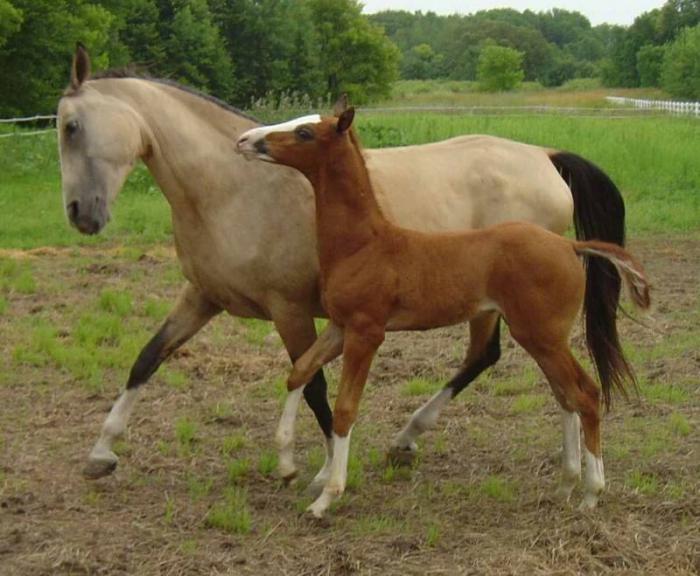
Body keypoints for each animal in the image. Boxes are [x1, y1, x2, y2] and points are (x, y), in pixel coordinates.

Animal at [60, 44, 628, 490]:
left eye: (70, 126)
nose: (81, 214)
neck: (234, 188)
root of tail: (546, 156)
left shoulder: (290, 310)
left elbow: (313, 386)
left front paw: (316, 472)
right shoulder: (202, 296)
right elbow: (147, 358)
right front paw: (100, 454)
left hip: (508, 309)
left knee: (498, 360)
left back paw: (413, 440)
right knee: (532, 371)